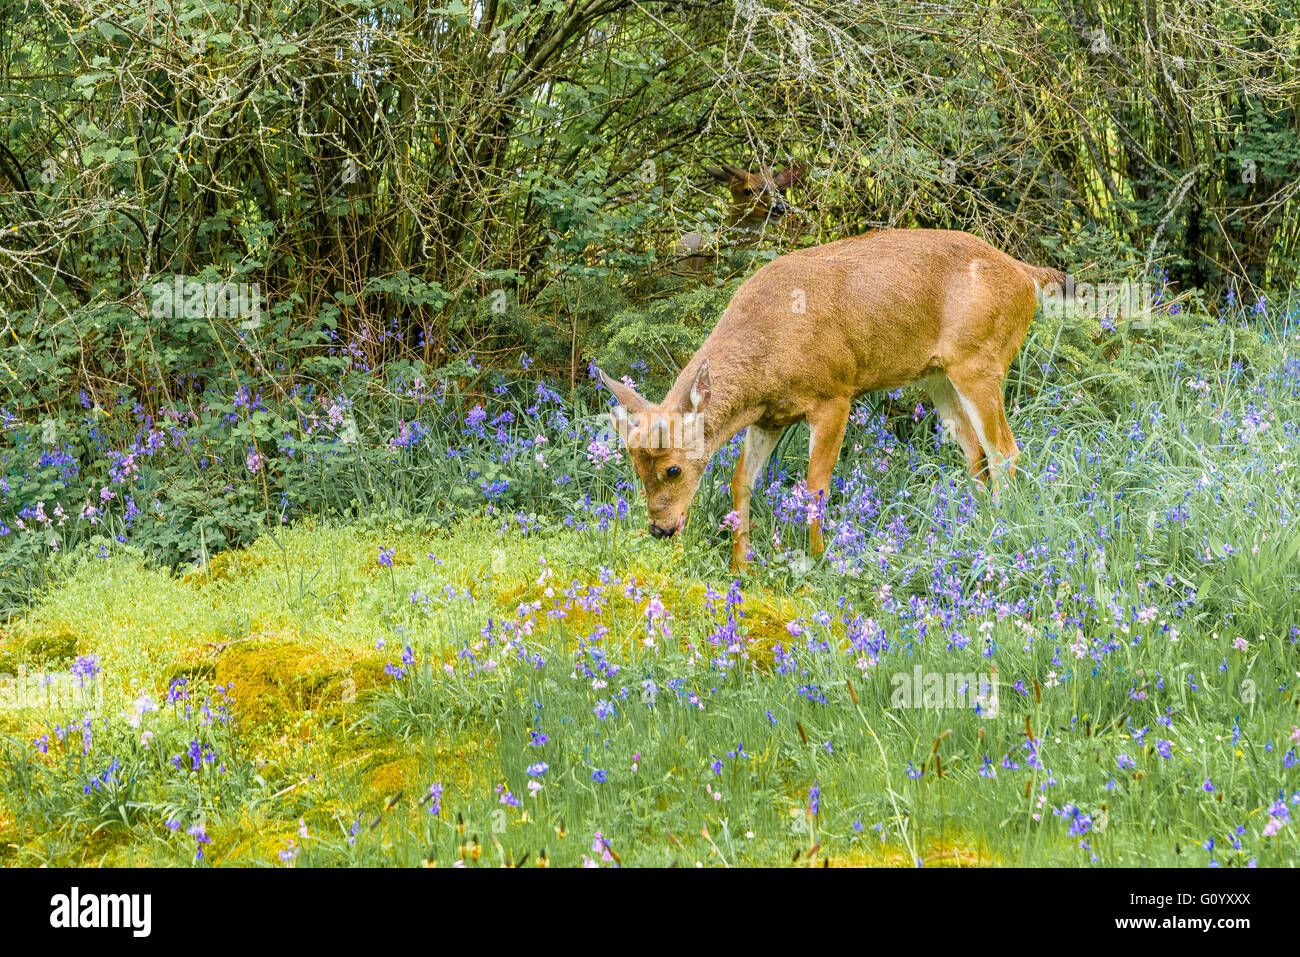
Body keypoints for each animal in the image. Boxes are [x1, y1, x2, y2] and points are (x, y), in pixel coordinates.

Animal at [599, 228, 1067, 571]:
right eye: (635, 467)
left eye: (673, 468)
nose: (660, 529)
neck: (767, 357)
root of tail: (1026, 275)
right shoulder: (769, 417)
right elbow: (740, 480)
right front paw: (740, 568)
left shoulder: (834, 393)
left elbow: (815, 484)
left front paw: (819, 559)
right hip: (939, 376)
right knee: (976, 453)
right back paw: (969, 525)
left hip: (980, 359)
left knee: (1005, 450)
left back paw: (998, 531)